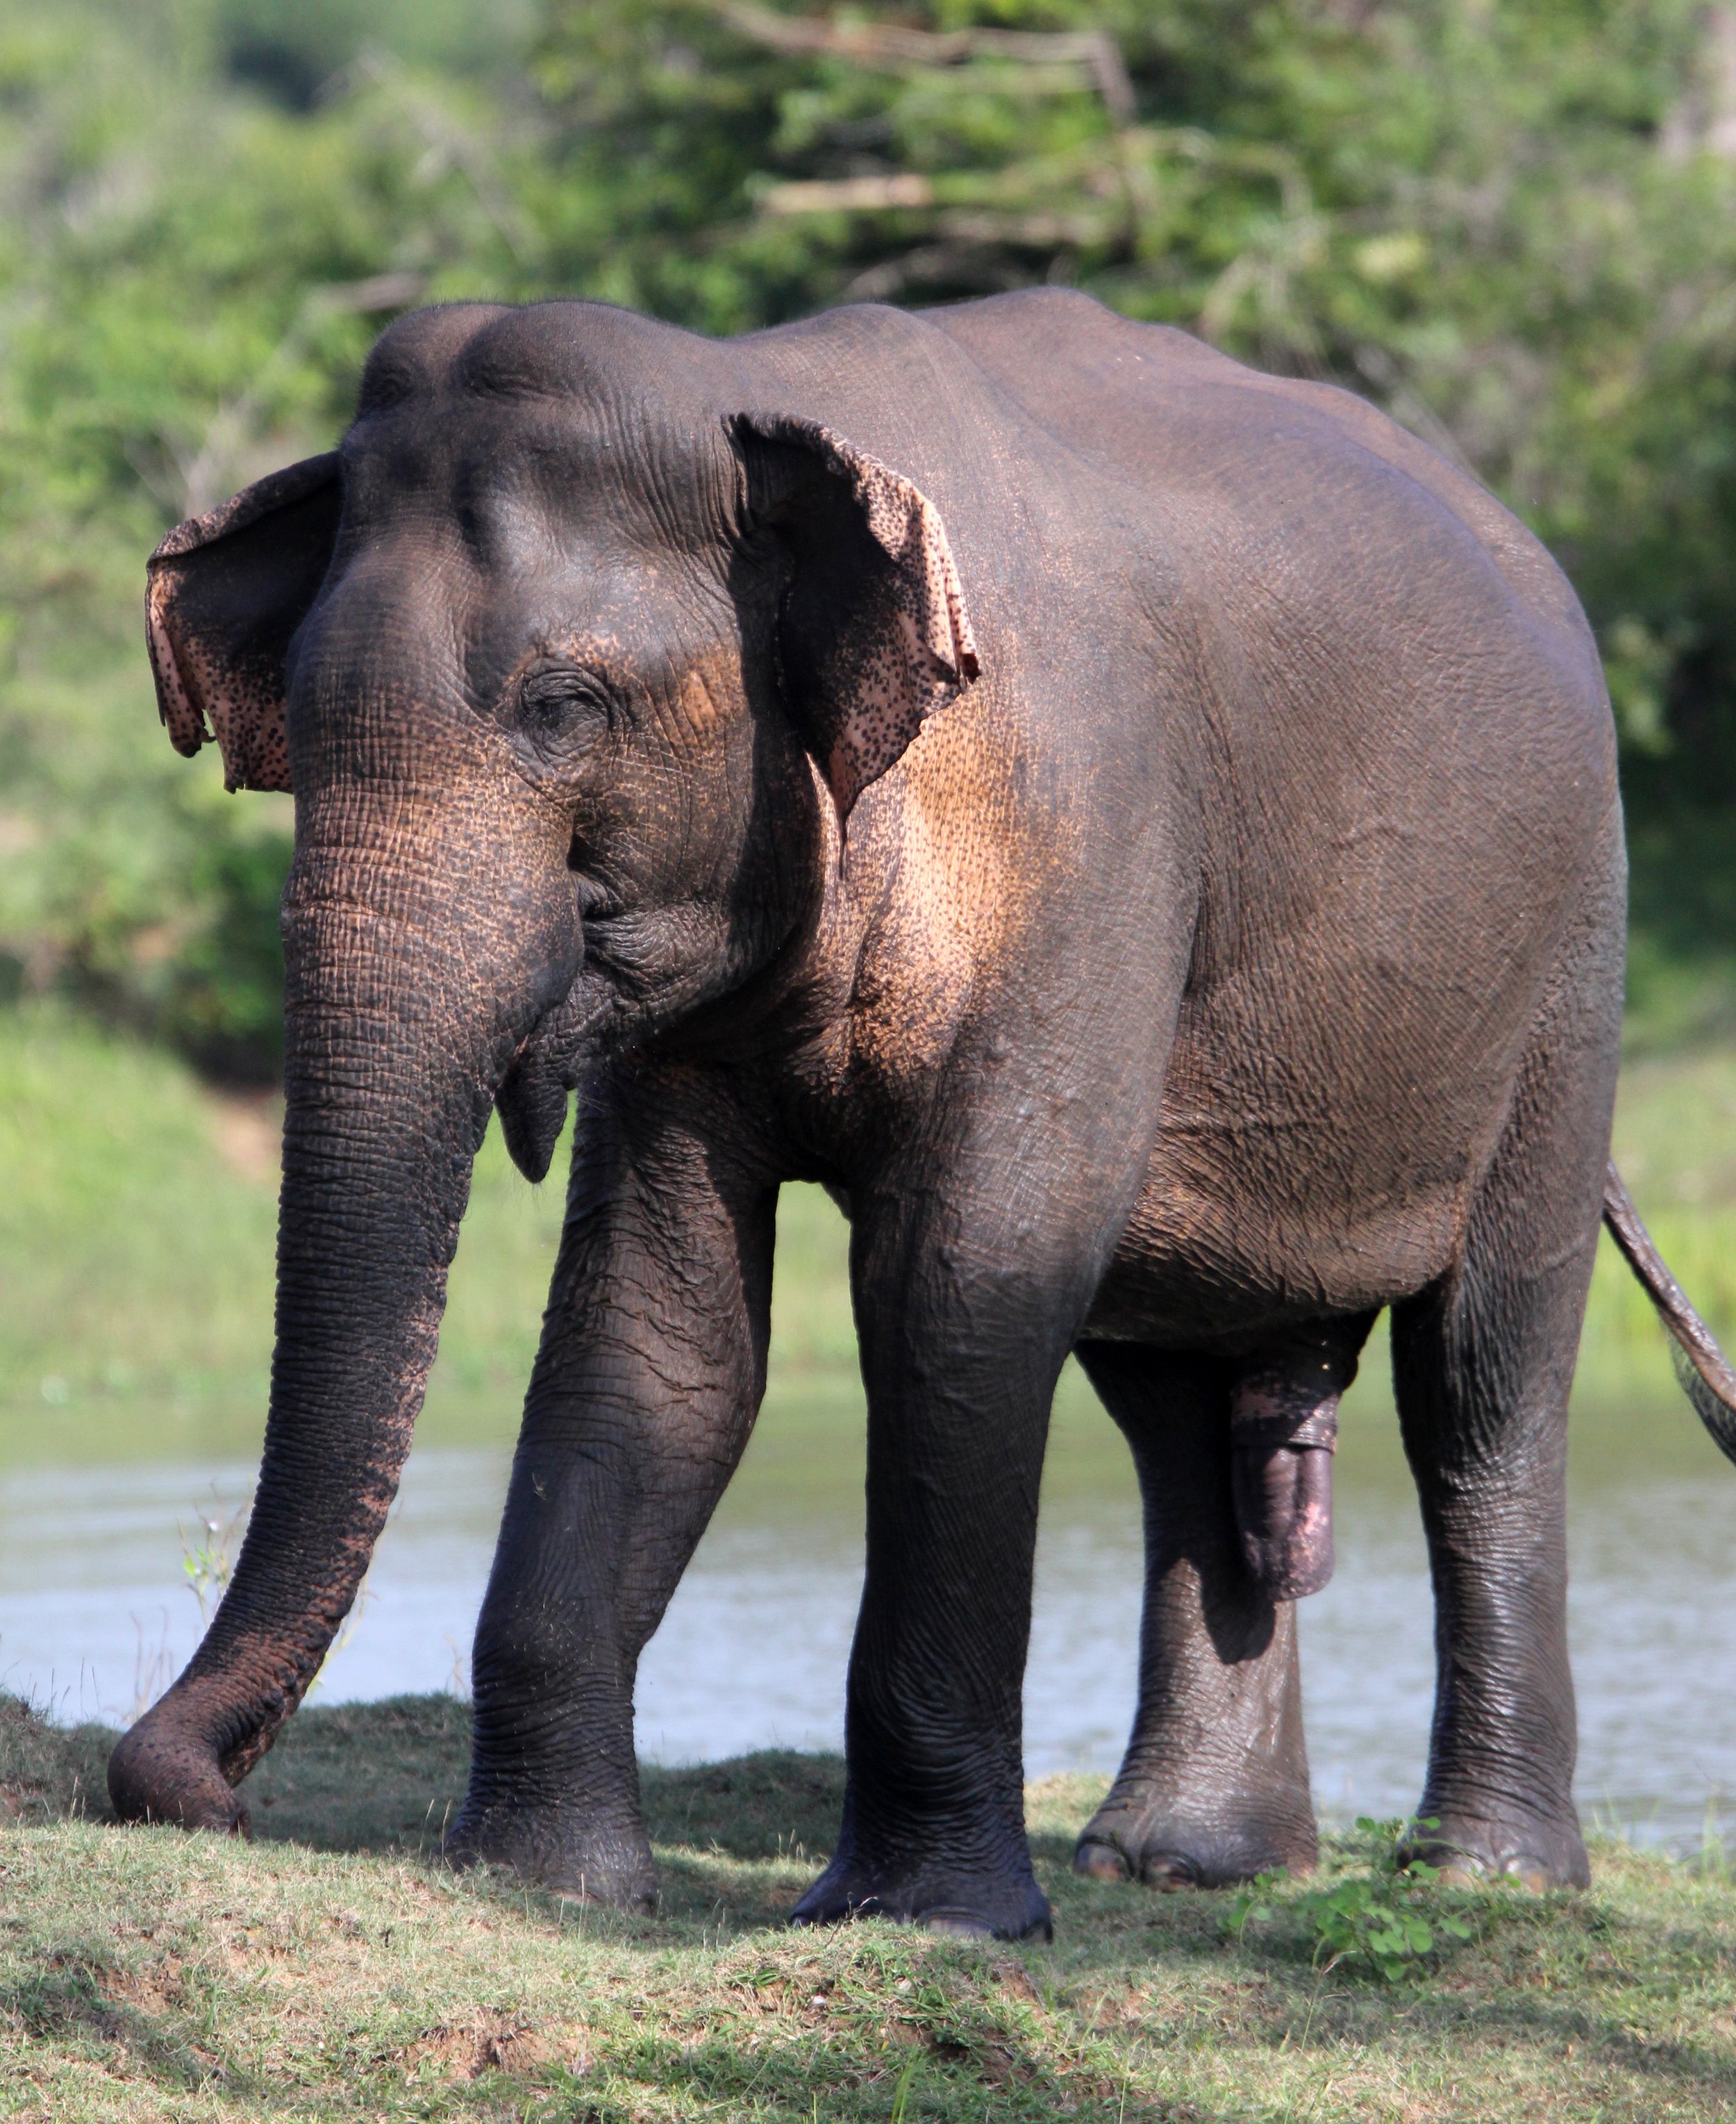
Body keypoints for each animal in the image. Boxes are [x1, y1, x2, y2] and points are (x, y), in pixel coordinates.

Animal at [112, 288, 1736, 1942]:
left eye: (565, 708)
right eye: (299, 721)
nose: (192, 1793)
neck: (753, 387)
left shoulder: (1088, 840)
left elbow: (953, 1293)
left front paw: (928, 1916)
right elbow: (662, 1322)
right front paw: (547, 1880)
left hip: (1566, 962)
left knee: (1480, 1373)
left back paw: (1484, 1870)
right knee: (1169, 1402)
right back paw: (1184, 1860)